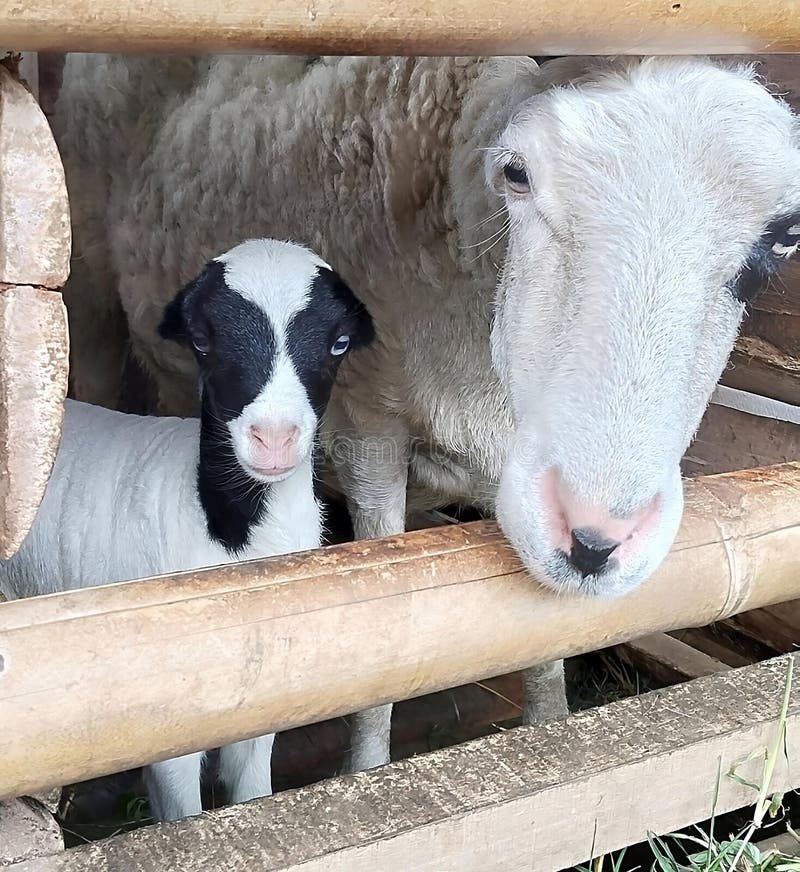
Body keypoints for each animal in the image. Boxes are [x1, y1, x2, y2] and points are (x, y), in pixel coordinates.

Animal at [0, 237, 375, 821]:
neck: (233, 538)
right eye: (202, 340)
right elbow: (181, 816)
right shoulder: (171, 715)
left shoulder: (265, 698)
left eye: (338, 343)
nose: (274, 438)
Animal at [52, 54, 800, 773]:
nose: (596, 535)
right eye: (516, 174)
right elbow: (390, 630)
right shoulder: (369, 435)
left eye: (785, 234)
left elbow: (537, 653)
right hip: (87, 286)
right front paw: (366, 774)